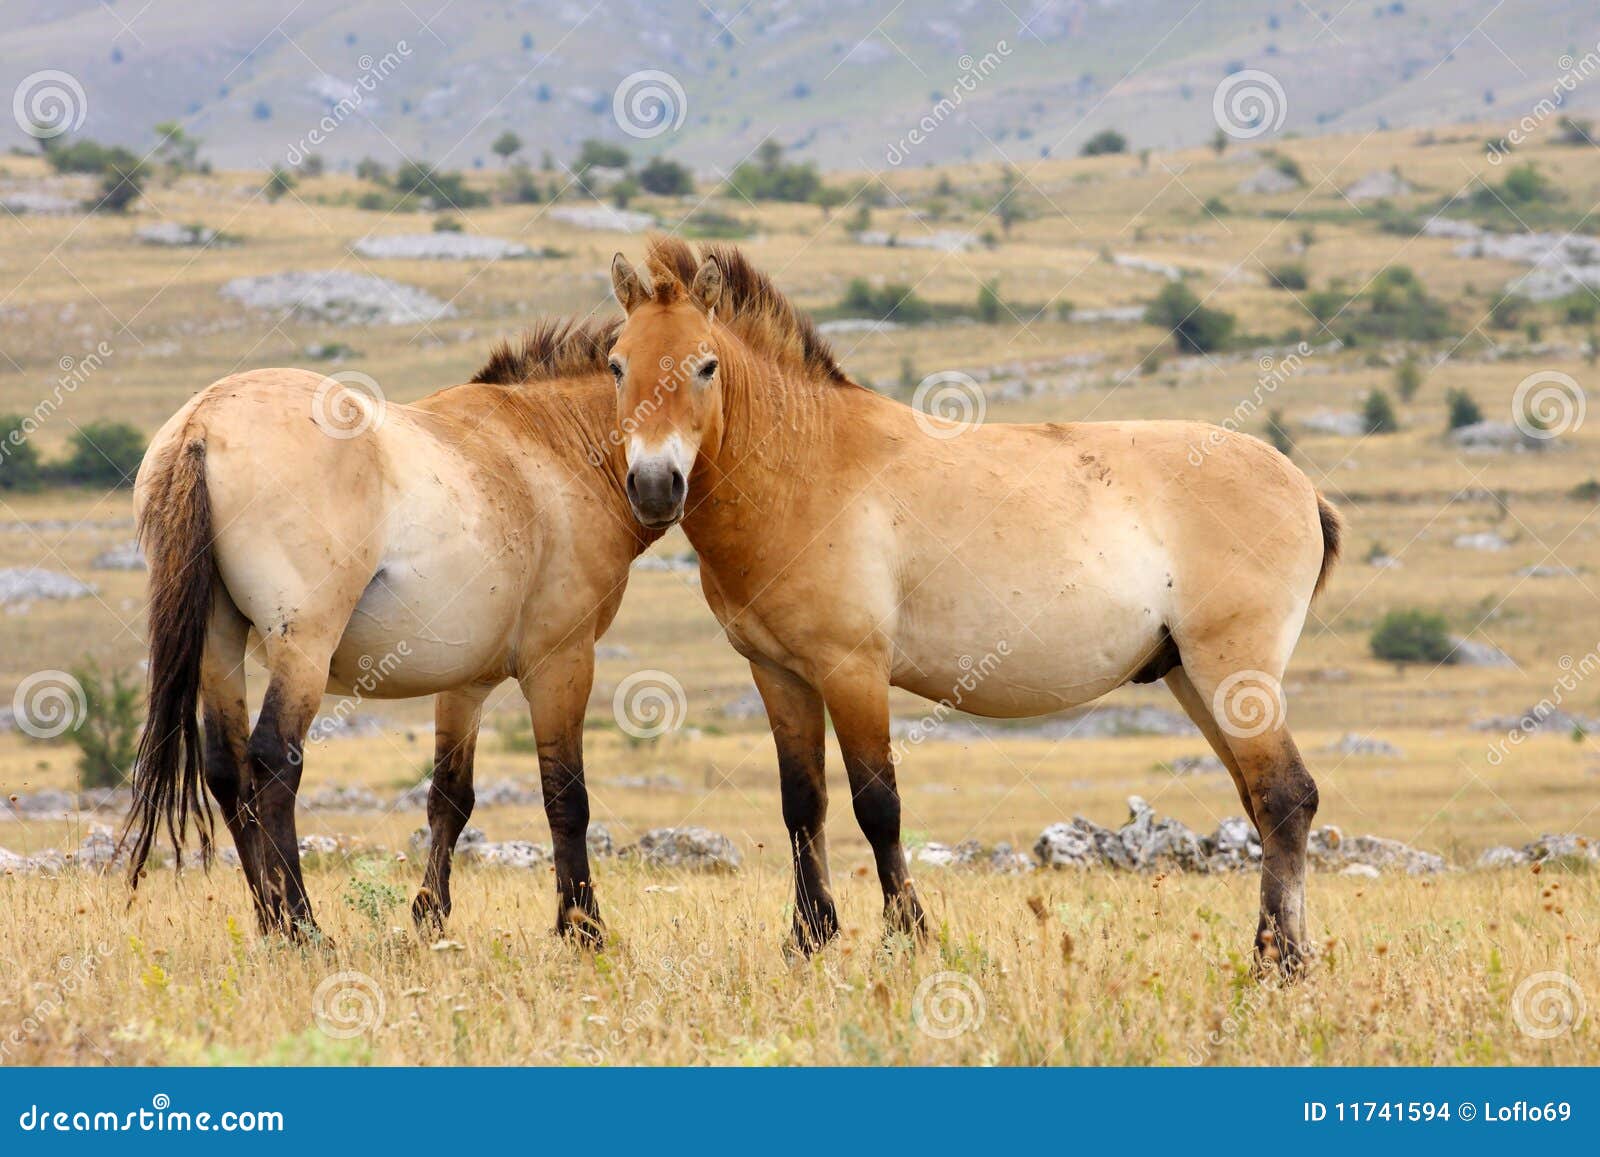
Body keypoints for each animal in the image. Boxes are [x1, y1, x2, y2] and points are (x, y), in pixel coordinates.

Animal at [125, 317, 658, 945]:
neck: (555, 443)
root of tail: (202, 423)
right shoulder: (562, 663)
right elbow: (566, 796)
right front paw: (581, 926)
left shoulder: (465, 682)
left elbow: (450, 796)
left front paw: (430, 914)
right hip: (302, 649)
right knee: (272, 762)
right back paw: (303, 928)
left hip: (218, 647)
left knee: (227, 771)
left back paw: (269, 921)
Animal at [604, 238, 1342, 971]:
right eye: (616, 365)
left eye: (705, 366)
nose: (654, 486)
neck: (805, 469)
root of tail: (1302, 487)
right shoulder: (779, 674)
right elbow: (802, 806)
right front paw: (809, 939)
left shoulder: (853, 671)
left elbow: (878, 806)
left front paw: (909, 937)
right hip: (1192, 675)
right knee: (1263, 798)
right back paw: (1282, 951)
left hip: (1233, 671)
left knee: (1284, 795)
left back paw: (1280, 960)